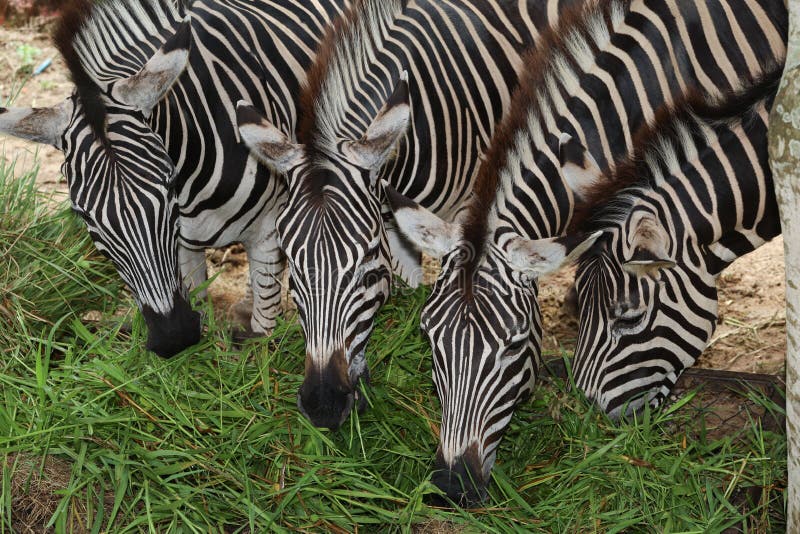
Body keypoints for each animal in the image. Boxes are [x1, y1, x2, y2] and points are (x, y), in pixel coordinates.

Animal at [0, 0, 346, 357]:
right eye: (83, 216)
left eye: (169, 189)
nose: (173, 337)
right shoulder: (183, 245)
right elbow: (198, 298)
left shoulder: (266, 230)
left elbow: (264, 330)